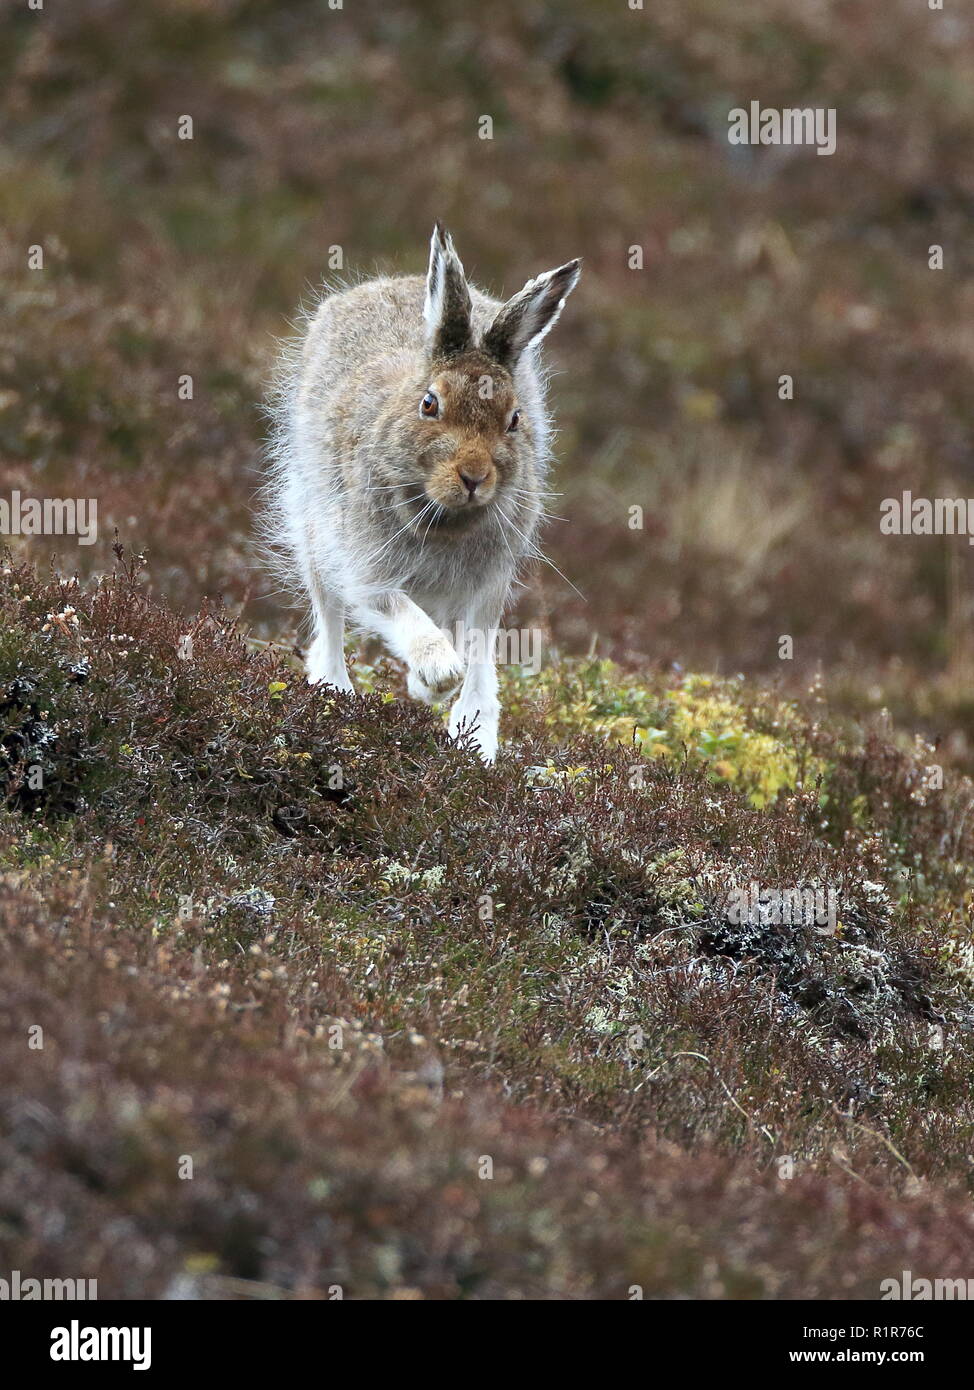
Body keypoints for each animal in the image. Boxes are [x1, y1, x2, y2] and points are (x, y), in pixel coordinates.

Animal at [263, 223, 580, 762]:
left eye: (515, 419)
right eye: (429, 404)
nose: (474, 476)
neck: (443, 513)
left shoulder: (488, 581)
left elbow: (478, 657)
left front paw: (474, 738)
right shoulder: (365, 566)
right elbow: (402, 614)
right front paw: (436, 674)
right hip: (314, 529)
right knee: (329, 620)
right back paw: (335, 692)